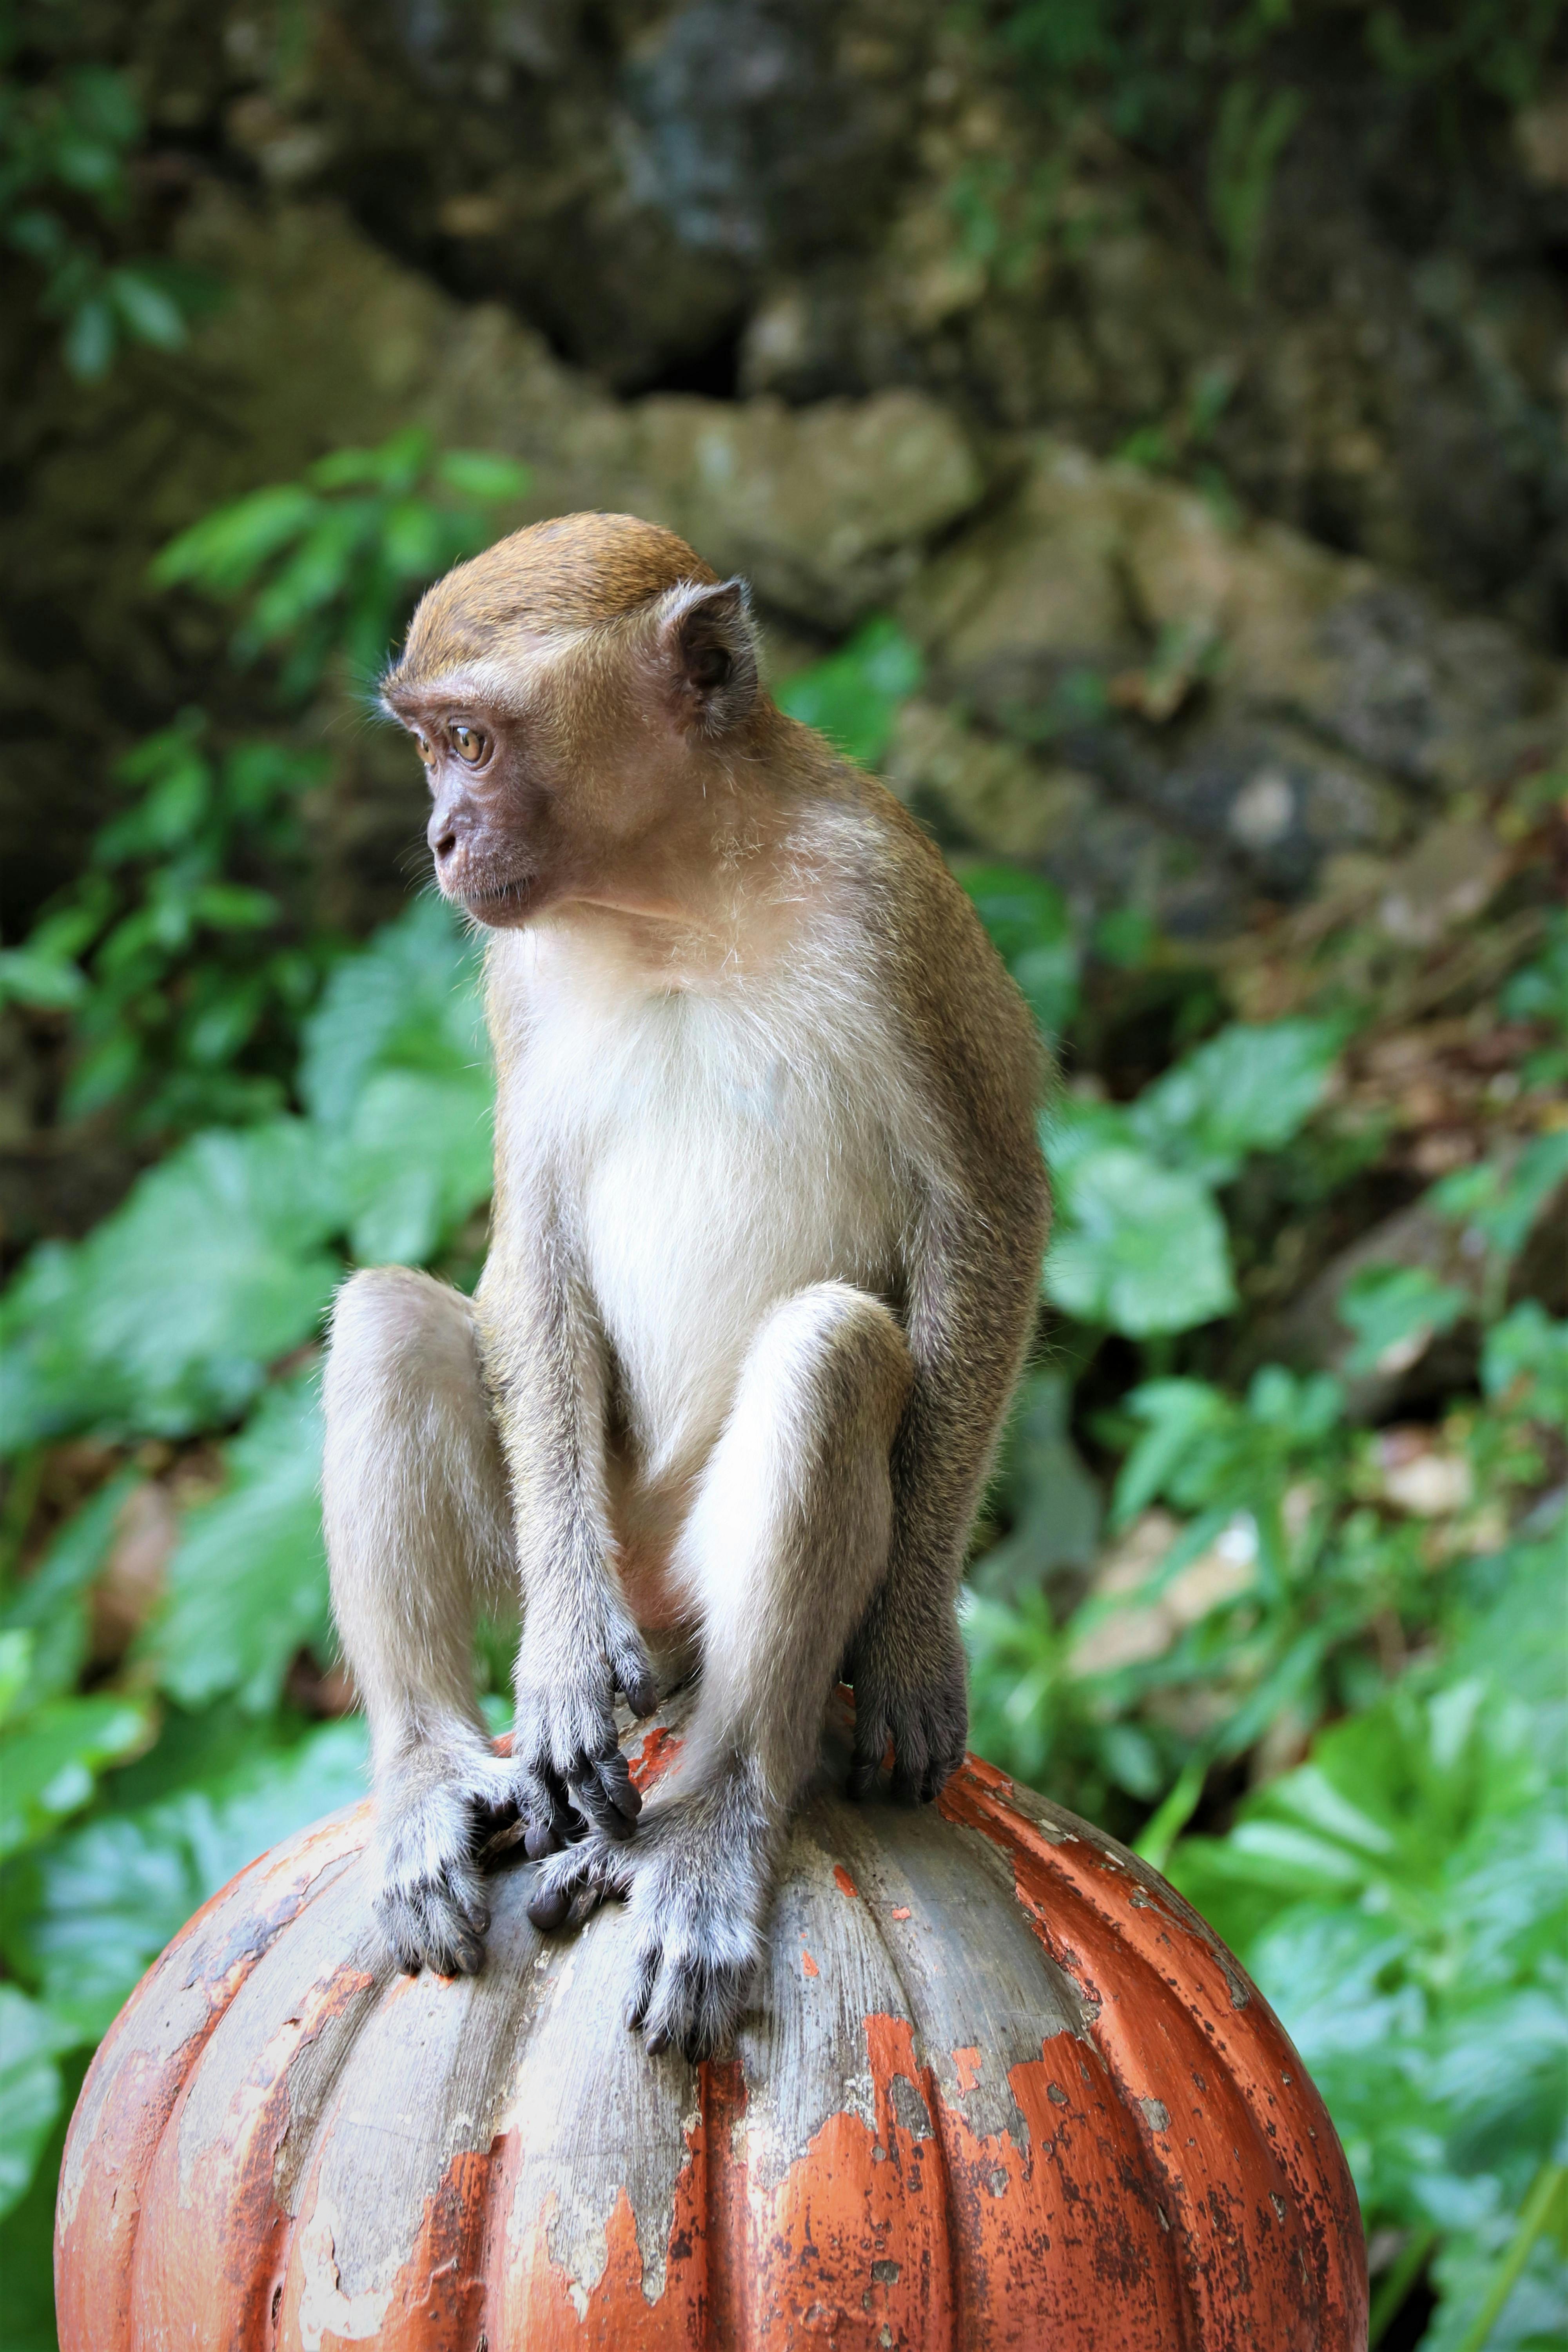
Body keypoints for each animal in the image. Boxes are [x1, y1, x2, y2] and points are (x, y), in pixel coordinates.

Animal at [321, 511, 1049, 2060]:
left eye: (468, 739)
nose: (441, 837)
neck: (670, 898)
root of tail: (662, 1609)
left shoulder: (892, 906)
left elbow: (989, 1207)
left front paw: (913, 1637)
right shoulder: (513, 980)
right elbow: (527, 1246)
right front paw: (552, 1661)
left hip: (706, 1574)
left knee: (833, 1356)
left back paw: (717, 1811)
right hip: (610, 1551)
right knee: (392, 1321)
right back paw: (429, 1773)